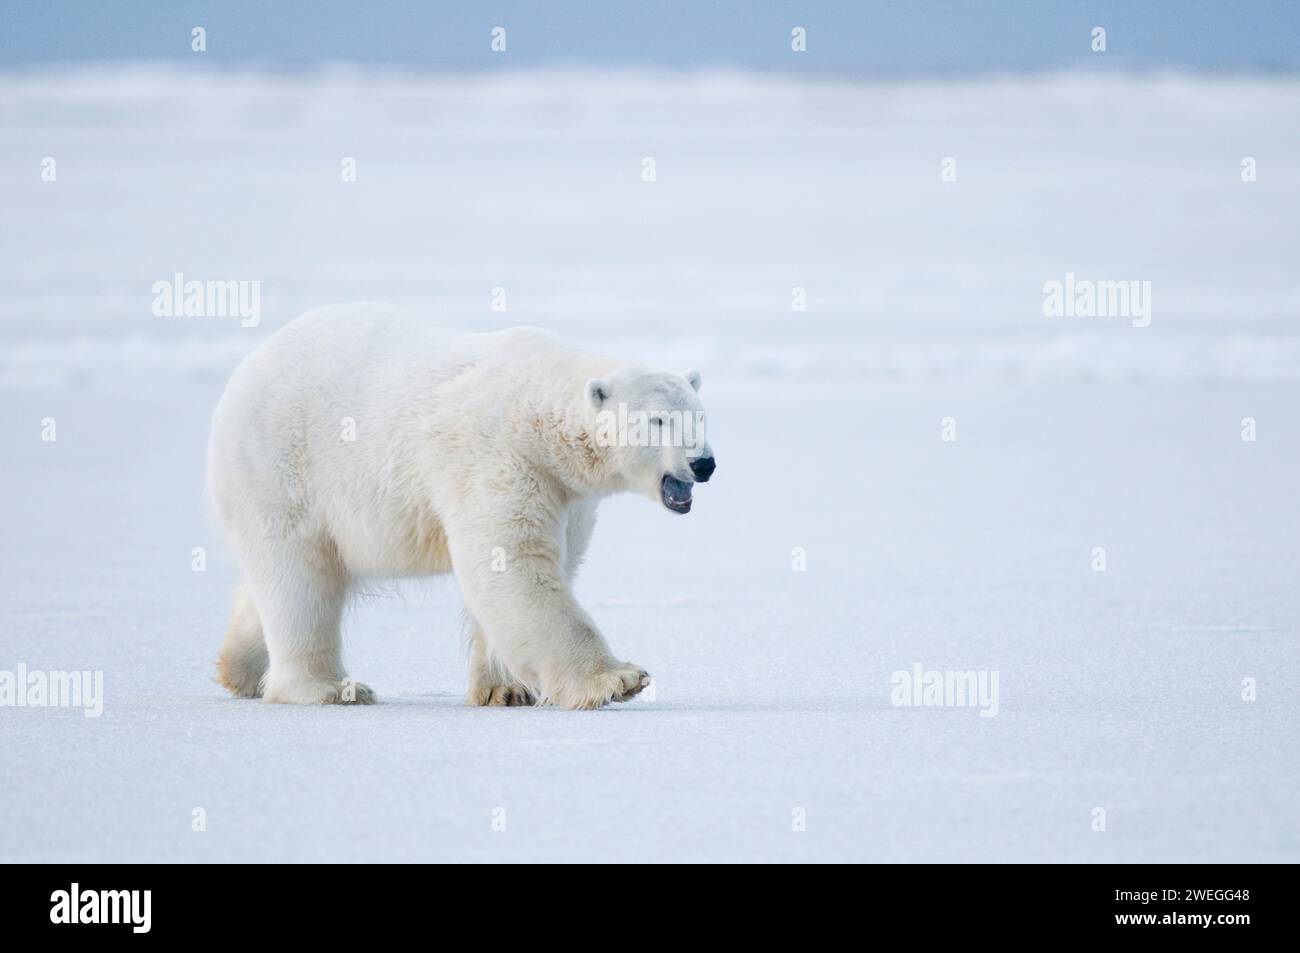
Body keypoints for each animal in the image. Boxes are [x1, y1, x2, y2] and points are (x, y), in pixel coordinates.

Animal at [206, 303, 715, 710]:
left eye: (699, 415)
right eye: (658, 420)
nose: (704, 463)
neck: (536, 414)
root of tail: (249, 366)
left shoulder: (565, 496)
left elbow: (544, 563)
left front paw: (505, 690)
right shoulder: (497, 458)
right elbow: (511, 562)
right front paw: (617, 679)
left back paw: (240, 668)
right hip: (281, 463)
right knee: (299, 575)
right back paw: (330, 688)